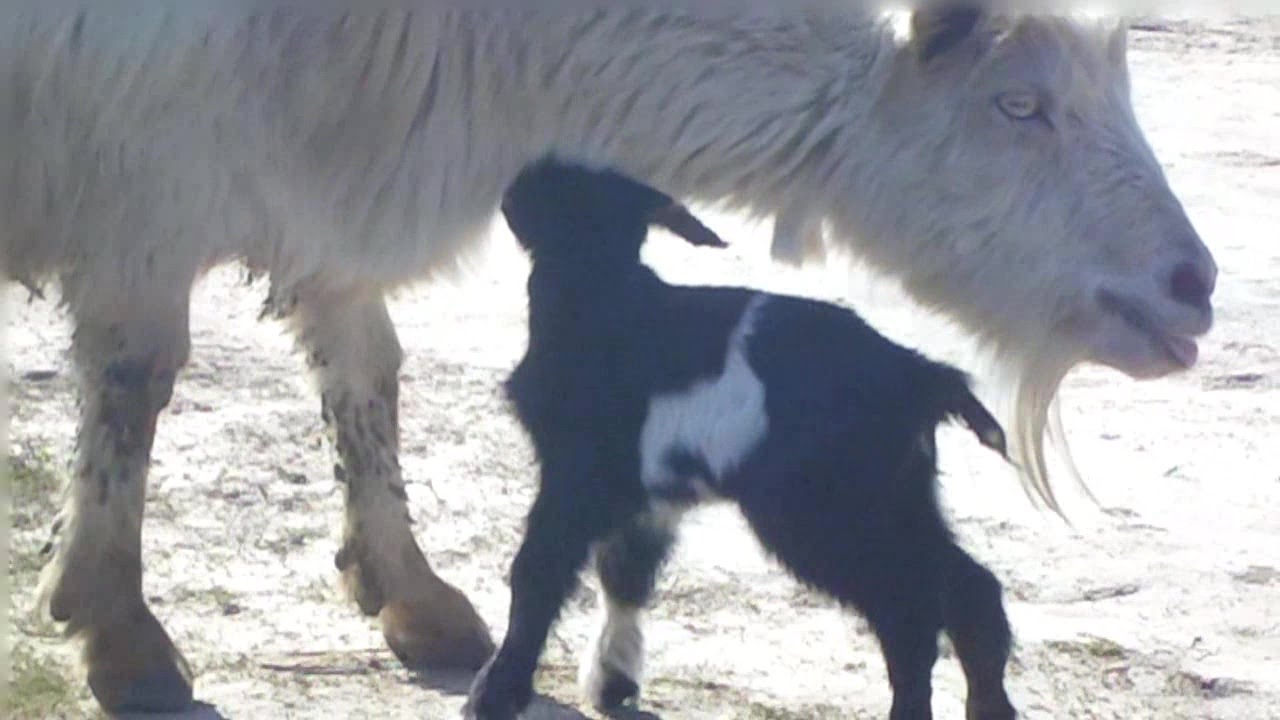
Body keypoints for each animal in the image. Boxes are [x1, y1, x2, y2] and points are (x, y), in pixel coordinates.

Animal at [464, 157, 1016, 720]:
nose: (509, 191)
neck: (602, 294)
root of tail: (922, 376)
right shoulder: (646, 497)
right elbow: (626, 574)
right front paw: (612, 683)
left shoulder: (577, 477)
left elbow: (538, 571)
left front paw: (495, 693)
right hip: (897, 498)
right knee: (968, 590)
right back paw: (989, 707)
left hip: (825, 511)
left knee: (909, 609)